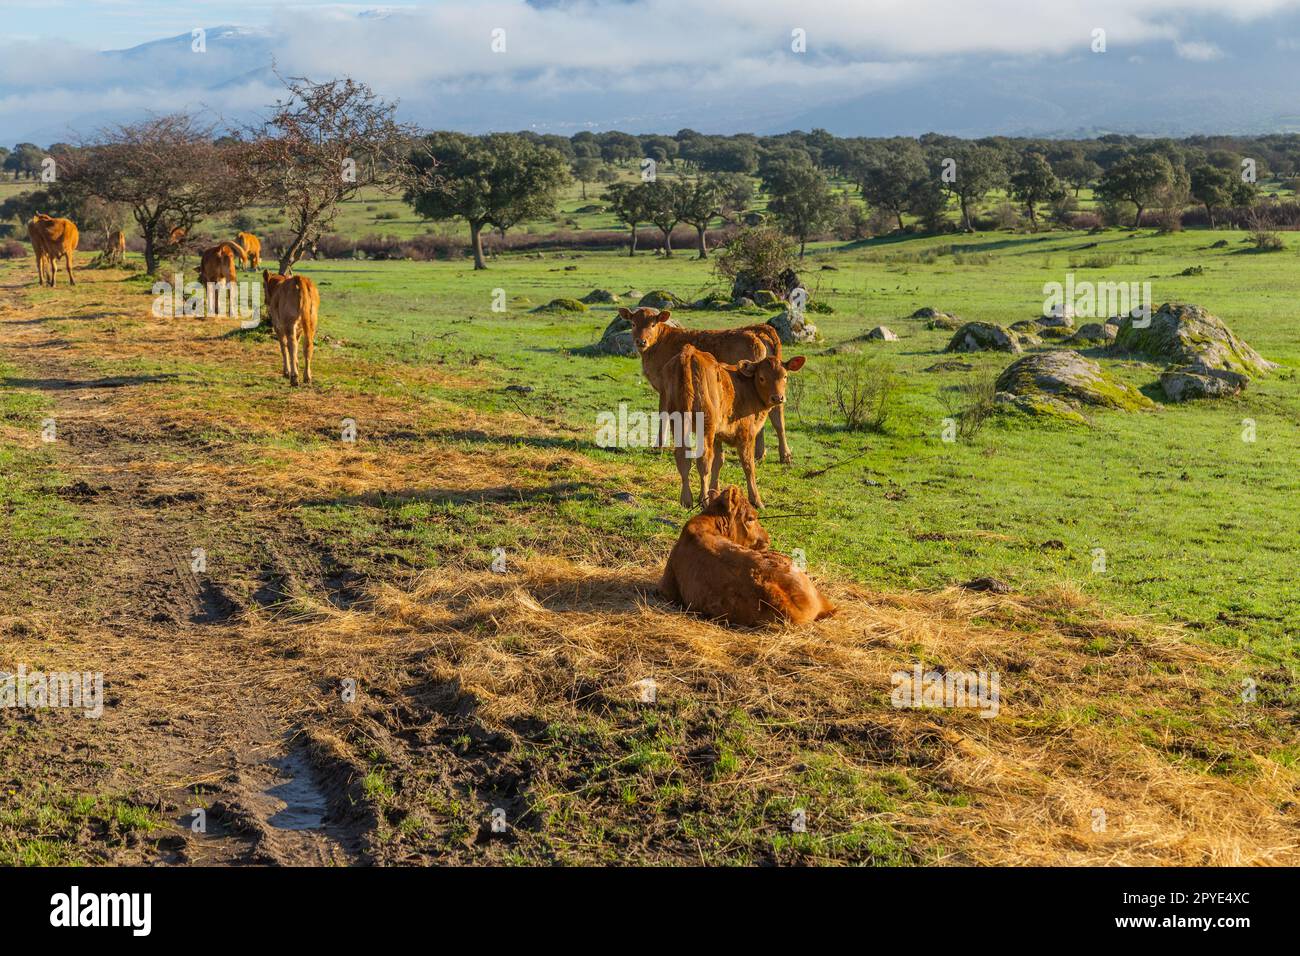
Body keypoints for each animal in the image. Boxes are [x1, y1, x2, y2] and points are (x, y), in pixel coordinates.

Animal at [622, 306, 793, 465]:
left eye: (652, 324)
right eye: (633, 323)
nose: (641, 341)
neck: (659, 343)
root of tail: (755, 330)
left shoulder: (665, 388)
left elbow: (663, 414)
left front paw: (659, 445)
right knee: (776, 416)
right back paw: (774, 455)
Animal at [661, 344, 805, 510]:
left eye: (785, 376)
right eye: (762, 378)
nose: (777, 398)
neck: (747, 388)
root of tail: (690, 352)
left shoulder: (718, 435)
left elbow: (718, 462)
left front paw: (715, 493)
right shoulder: (746, 434)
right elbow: (748, 465)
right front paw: (756, 500)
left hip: (678, 421)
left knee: (682, 457)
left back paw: (686, 499)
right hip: (706, 425)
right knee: (703, 460)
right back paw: (703, 500)